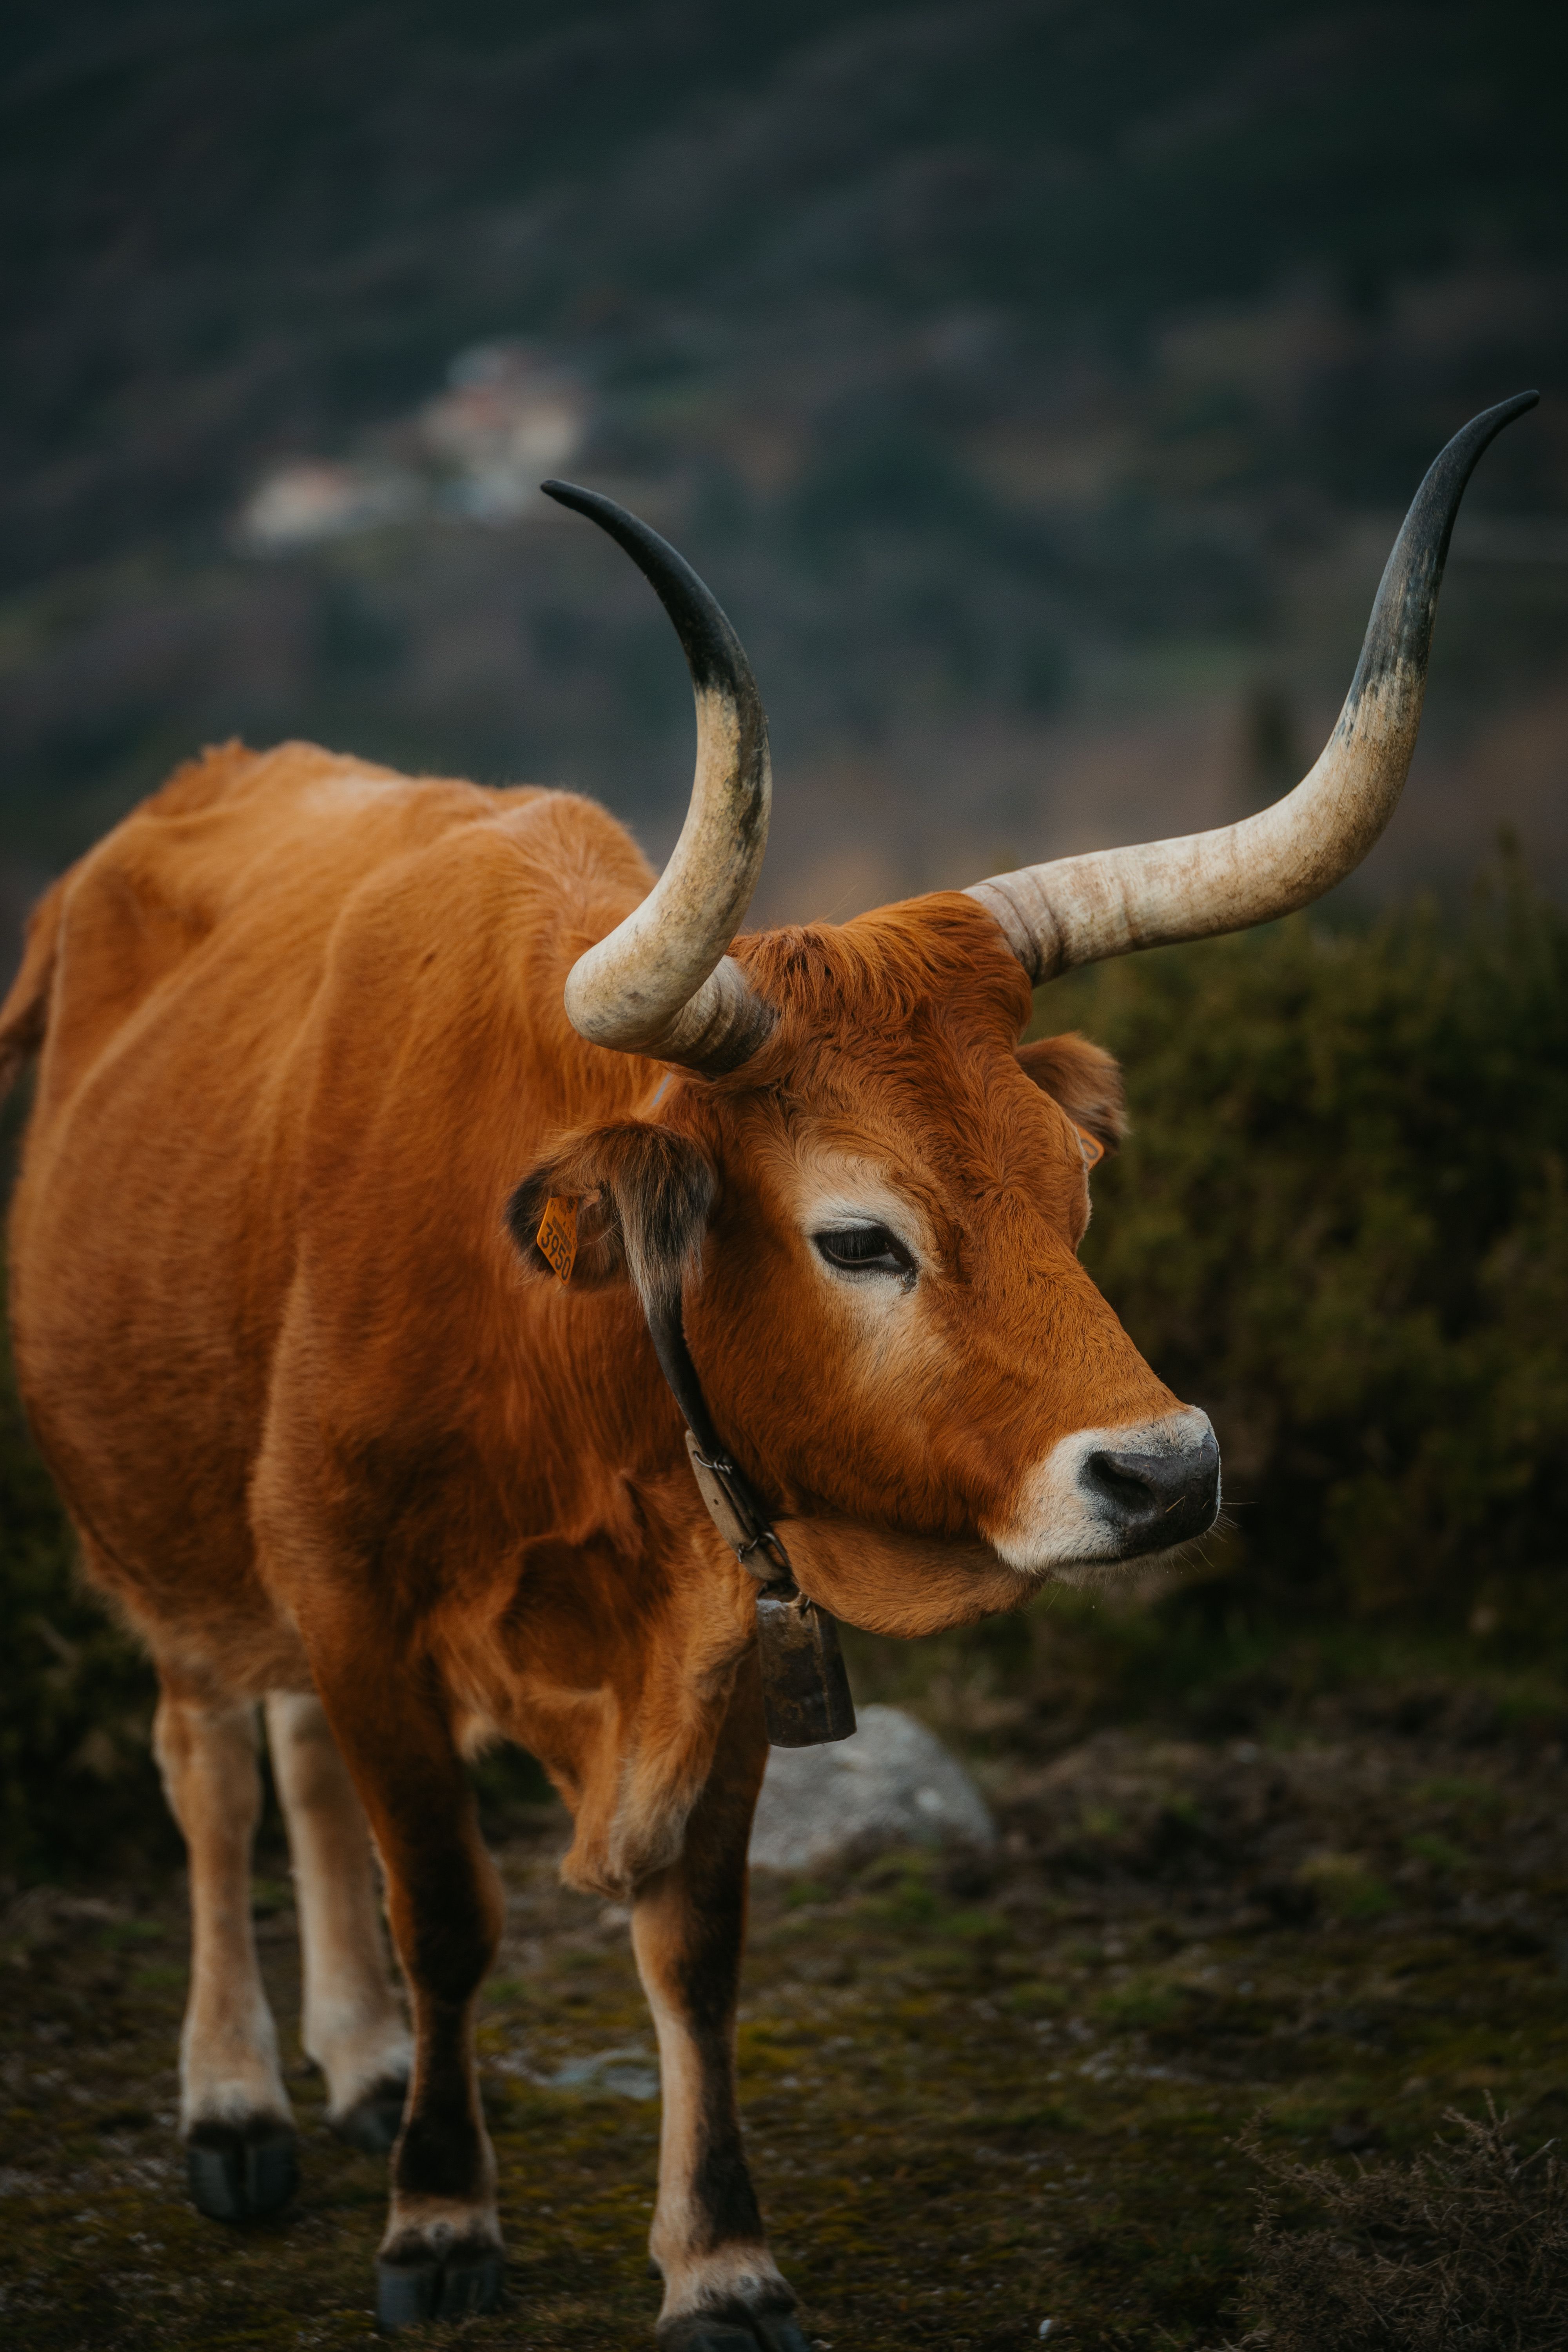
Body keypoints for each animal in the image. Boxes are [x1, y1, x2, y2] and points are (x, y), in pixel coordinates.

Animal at [0, 392, 1533, 2345]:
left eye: (1069, 1181)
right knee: (205, 1756)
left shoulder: (725, 1634)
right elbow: (450, 1910)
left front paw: (717, 2254)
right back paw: (242, 2103)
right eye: (858, 1235)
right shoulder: (355, 1585)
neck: (566, 1371)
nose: (1168, 1471)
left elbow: (695, 1946)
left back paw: (357, 2066)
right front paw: (440, 2215)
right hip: (161, 1511)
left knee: (289, 1756)